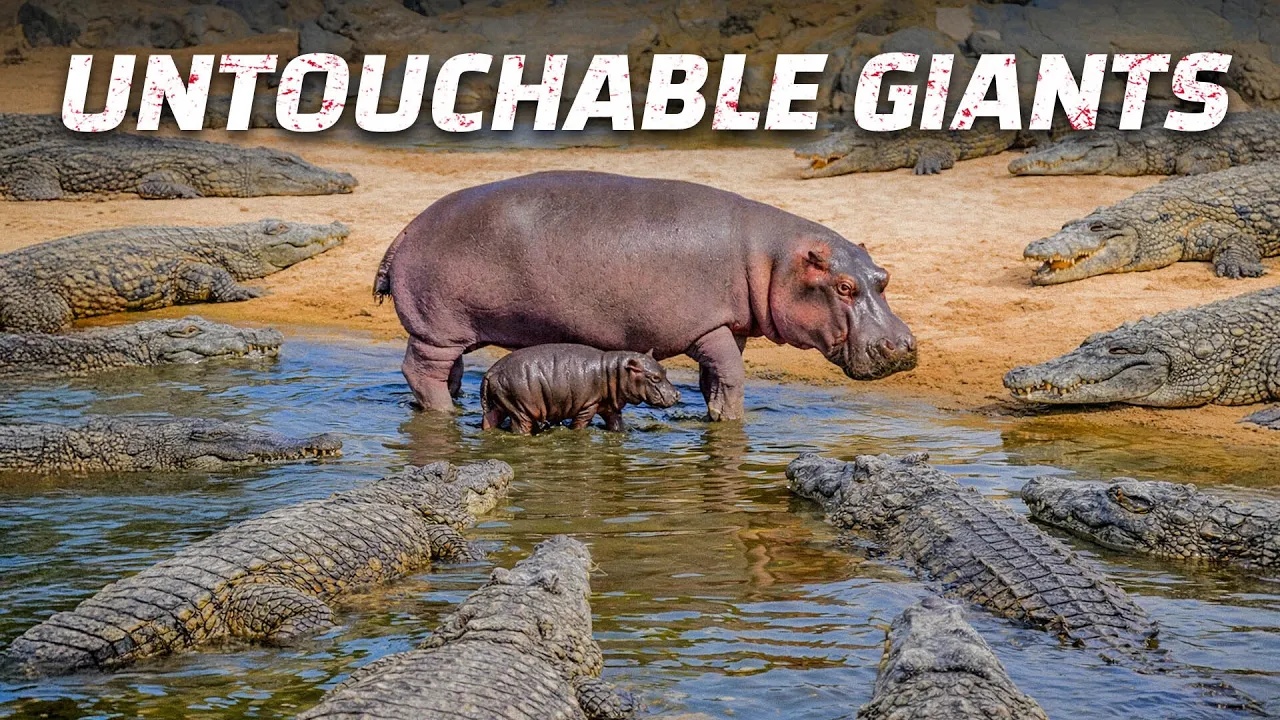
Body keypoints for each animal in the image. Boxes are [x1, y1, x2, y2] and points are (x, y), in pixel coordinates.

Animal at [376, 171, 917, 420]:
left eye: (884, 277)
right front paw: (731, 421)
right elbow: (733, 377)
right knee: (420, 371)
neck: (772, 259)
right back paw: (446, 416)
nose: (904, 346)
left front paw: (712, 414)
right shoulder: (708, 327)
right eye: (844, 286)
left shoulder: (728, 327)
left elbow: (715, 378)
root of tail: (403, 230)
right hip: (437, 329)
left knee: (446, 373)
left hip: (450, 332)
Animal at [480, 344, 681, 434]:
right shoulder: (588, 406)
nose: (677, 394)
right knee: (520, 427)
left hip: (500, 405)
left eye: (664, 370)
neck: (615, 370)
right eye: (655, 378)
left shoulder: (610, 406)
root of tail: (491, 372)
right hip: (520, 409)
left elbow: (616, 424)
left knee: (489, 420)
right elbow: (580, 425)